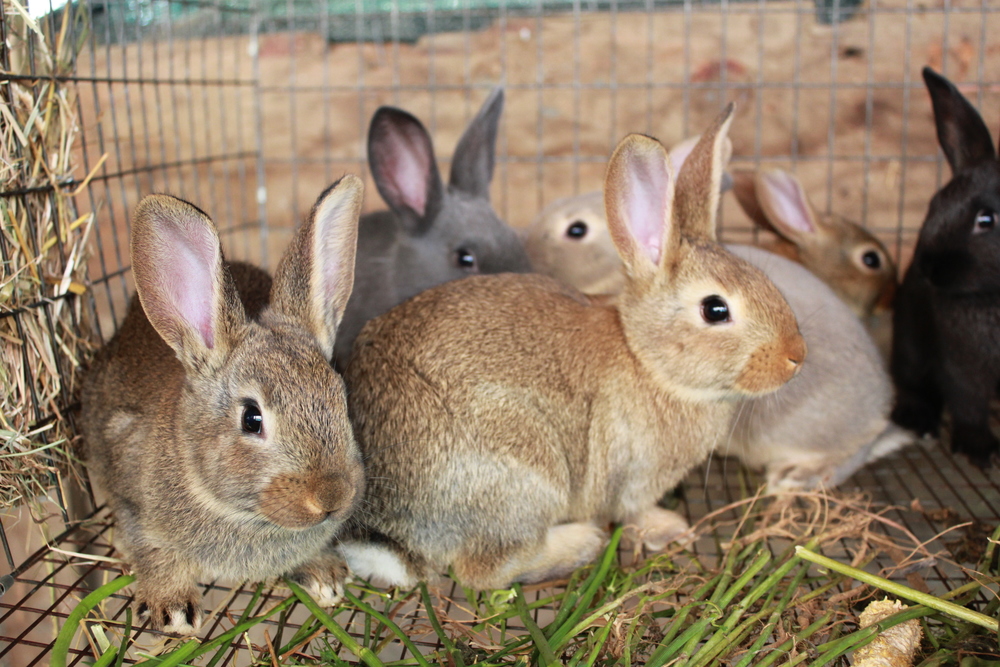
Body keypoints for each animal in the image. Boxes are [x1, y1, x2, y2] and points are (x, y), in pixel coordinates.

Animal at [79, 176, 367, 635]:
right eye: (252, 419)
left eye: (341, 397)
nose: (332, 496)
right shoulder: (126, 490)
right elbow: (151, 551)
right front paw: (172, 607)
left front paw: (324, 574)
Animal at [890, 66, 1000, 467]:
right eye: (935, 203)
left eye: (987, 219)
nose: (927, 267)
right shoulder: (960, 363)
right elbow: (968, 404)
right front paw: (979, 450)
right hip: (908, 341)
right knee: (913, 385)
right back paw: (917, 420)